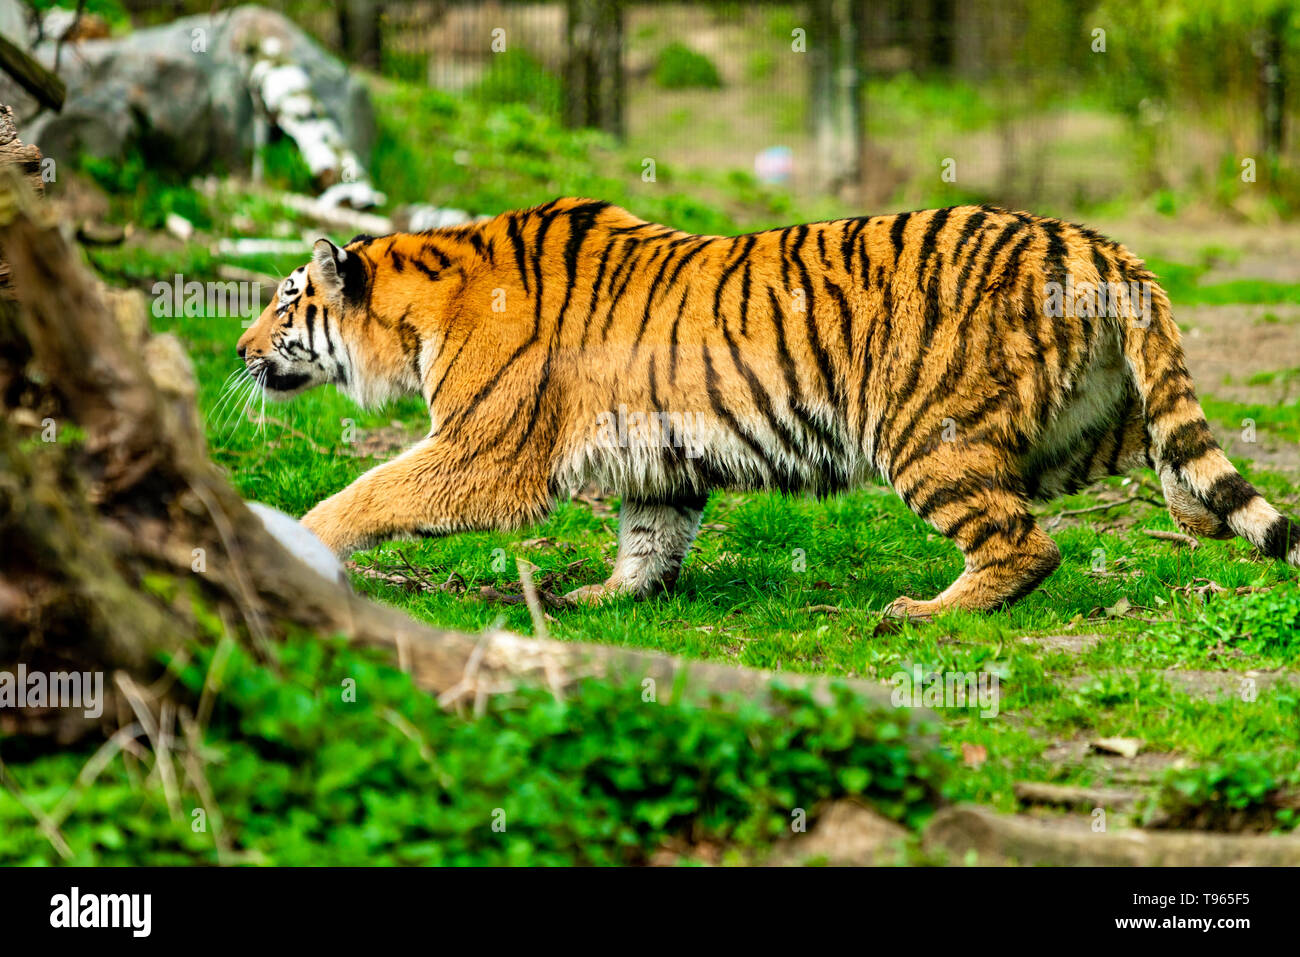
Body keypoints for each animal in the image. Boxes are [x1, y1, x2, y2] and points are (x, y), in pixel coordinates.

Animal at [234, 198, 1299, 619]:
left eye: (287, 302)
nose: (240, 351)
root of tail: (1095, 244)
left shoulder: (484, 450)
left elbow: (372, 488)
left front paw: (297, 538)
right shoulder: (656, 456)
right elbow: (650, 538)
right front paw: (610, 596)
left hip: (929, 434)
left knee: (1024, 543)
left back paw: (925, 614)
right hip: (1095, 413)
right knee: (1182, 454)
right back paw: (1195, 523)